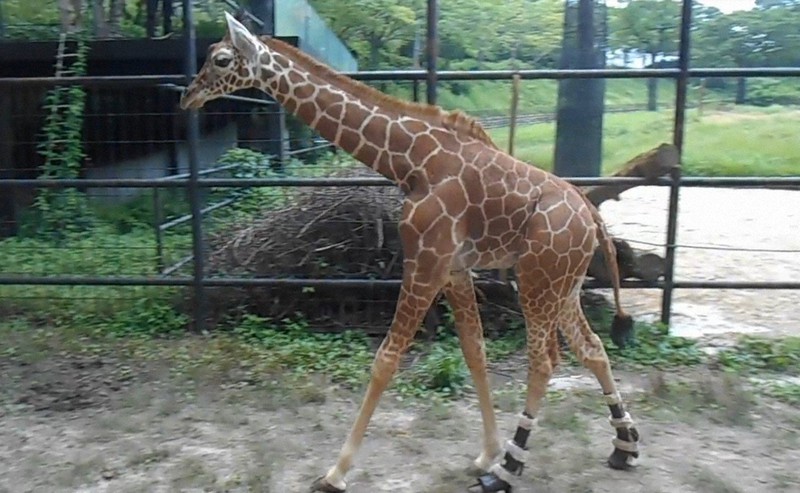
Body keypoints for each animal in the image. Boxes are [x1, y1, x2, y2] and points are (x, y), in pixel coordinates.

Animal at [180, 13, 640, 493]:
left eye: (221, 58)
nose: (187, 97)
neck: (409, 161)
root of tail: (591, 215)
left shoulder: (425, 260)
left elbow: (386, 358)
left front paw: (336, 472)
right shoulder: (454, 268)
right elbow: (474, 350)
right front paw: (485, 451)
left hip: (537, 280)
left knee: (545, 360)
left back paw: (509, 469)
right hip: (562, 283)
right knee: (592, 348)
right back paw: (623, 446)